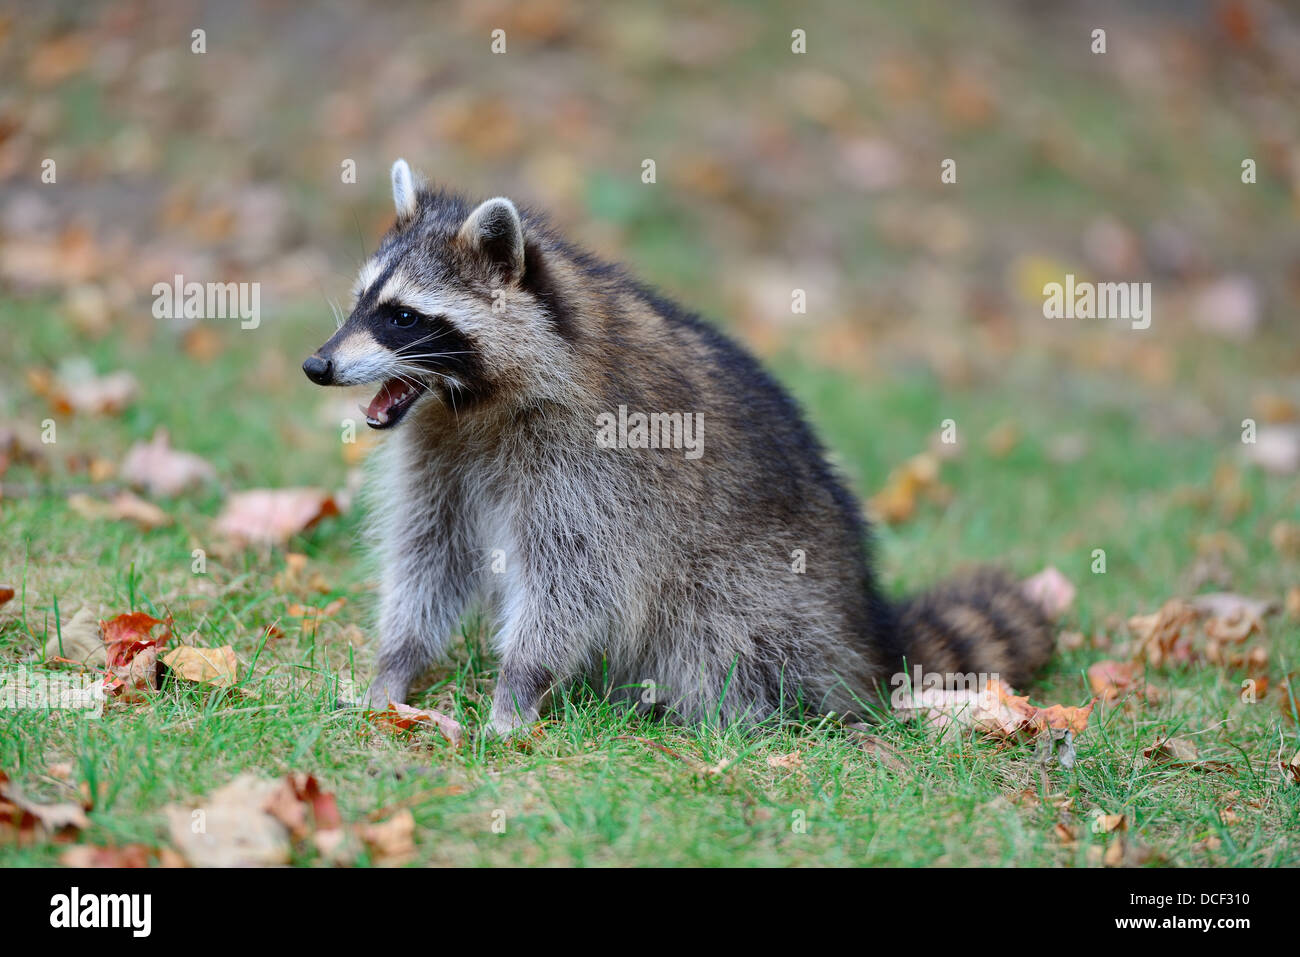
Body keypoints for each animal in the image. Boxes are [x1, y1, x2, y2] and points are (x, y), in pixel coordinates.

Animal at [304, 159, 1053, 736]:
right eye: (361, 301)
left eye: (402, 317)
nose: (316, 365)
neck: (472, 403)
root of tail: (867, 639)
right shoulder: (442, 446)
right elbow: (432, 549)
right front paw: (396, 663)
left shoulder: (591, 460)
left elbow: (572, 578)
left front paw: (518, 686)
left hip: (768, 590)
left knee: (720, 632)